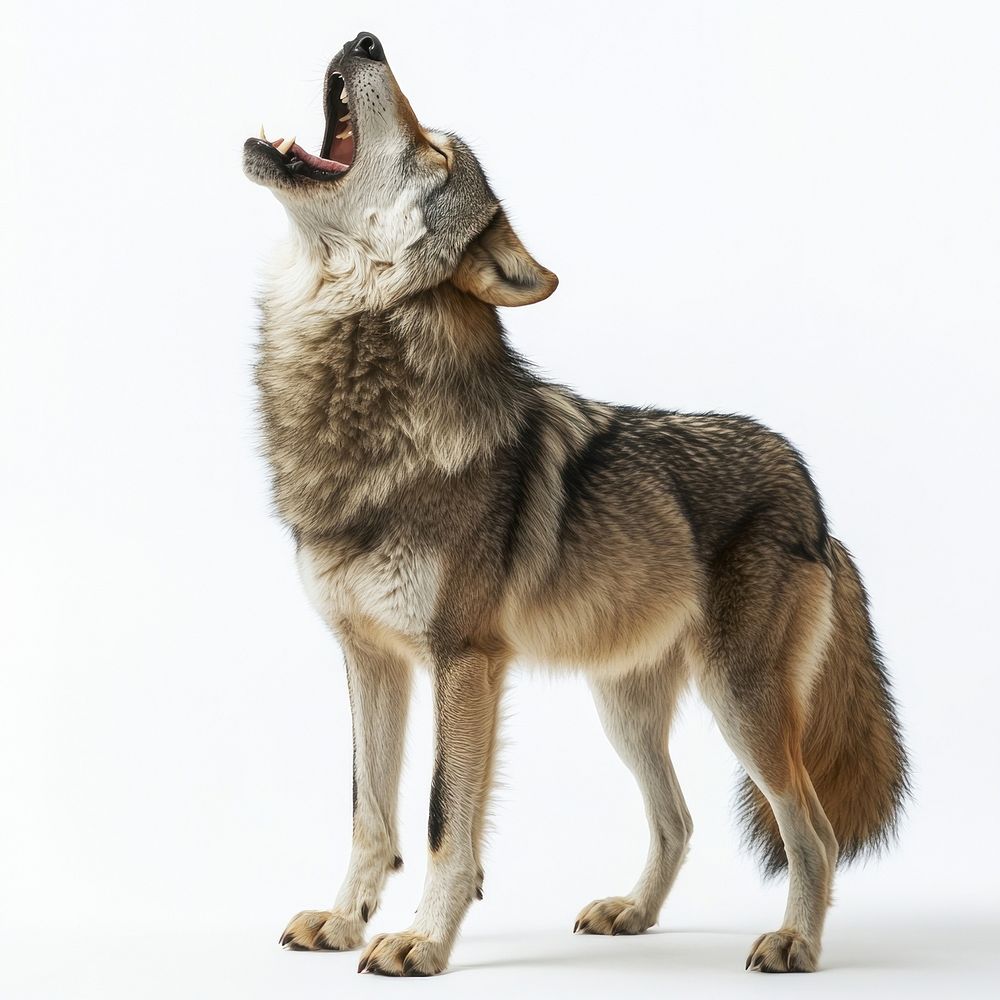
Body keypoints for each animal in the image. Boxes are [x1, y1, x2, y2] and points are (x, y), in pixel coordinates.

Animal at [243, 31, 908, 976]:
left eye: (435, 152)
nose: (366, 39)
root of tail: (815, 500)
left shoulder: (464, 661)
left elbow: (445, 821)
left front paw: (421, 941)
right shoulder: (369, 659)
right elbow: (370, 813)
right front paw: (345, 922)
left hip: (739, 704)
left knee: (808, 828)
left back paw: (792, 941)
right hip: (624, 710)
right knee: (679, 820)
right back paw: (633, 913)